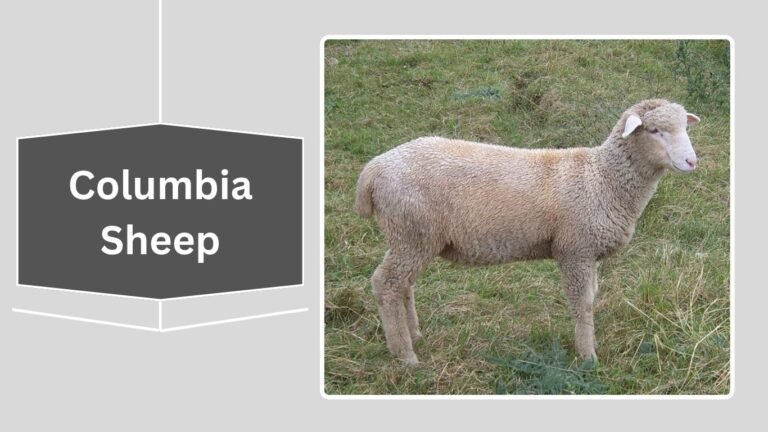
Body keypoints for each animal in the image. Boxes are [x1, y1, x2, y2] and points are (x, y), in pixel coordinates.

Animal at [355, 99, 700, 365]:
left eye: (685, 128)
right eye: (654, 131)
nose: (691, 161)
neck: (602, 178)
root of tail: (373, 170)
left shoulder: (589, 252)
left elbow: (591, 299)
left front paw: (591, 345)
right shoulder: (575, 249)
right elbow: (582, 303)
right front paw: (587, 357)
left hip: (410, 236)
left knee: (403, 284)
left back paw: (413, 334)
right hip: (412, 232)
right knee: (386, 284)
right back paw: (405, 355)